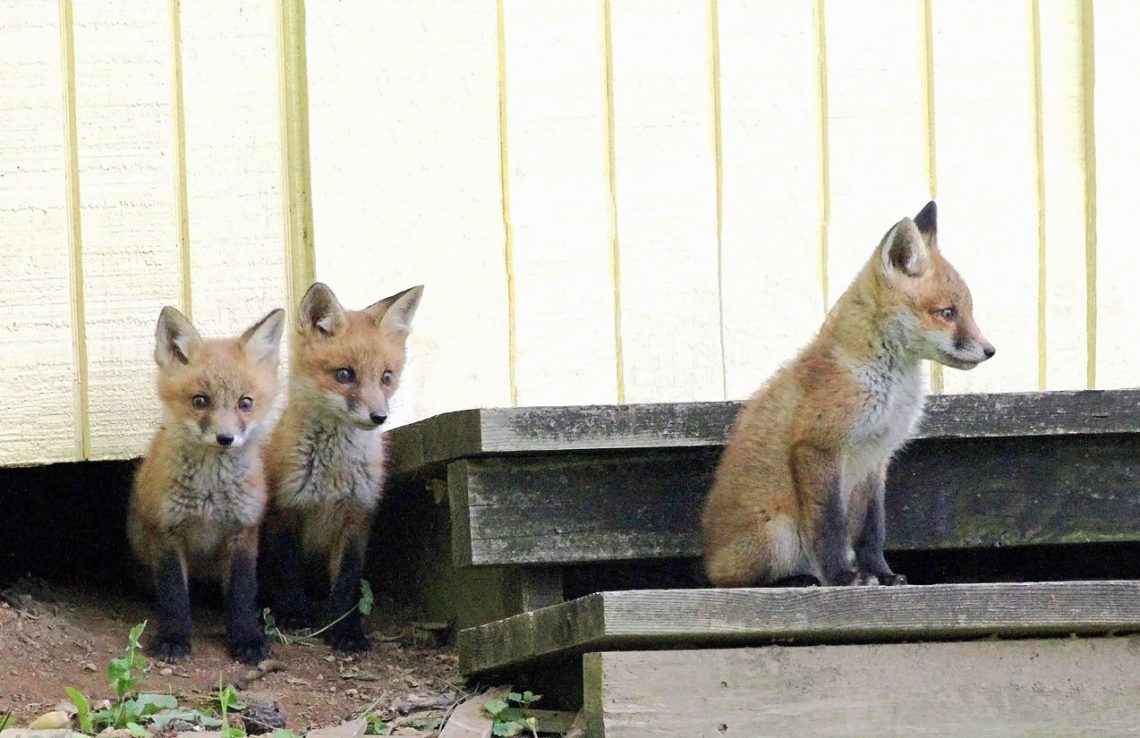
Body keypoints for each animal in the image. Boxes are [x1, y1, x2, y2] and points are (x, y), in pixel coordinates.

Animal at [128, 305, 285, 663]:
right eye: (200, 401)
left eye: (245, 403)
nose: (225, 438)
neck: (210, 497)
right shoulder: (167, 532)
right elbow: (174, 596)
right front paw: (173, 638)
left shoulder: (243, 531)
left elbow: (242, 596)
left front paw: (247, 639)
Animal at [262, 282, 423, 653]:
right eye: (345, 374)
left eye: (387, 377)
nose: (379, 417)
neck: (332, 476)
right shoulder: (285, 511)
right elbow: (288, 573)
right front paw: (294, 616)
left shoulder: (356, 518)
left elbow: (347, 586)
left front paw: (346, 631)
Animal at [702, 201, 994, 588]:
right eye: (947, 313)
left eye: (968, 312)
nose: (990, 351)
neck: (888, 384)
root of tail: (708, 560)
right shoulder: (820, 446)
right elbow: (832, 527)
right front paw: (842, 576)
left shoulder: (877, 458)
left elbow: (872, 530)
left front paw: (882, 575)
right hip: (777, 533)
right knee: (736, 582)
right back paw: (796, 580)